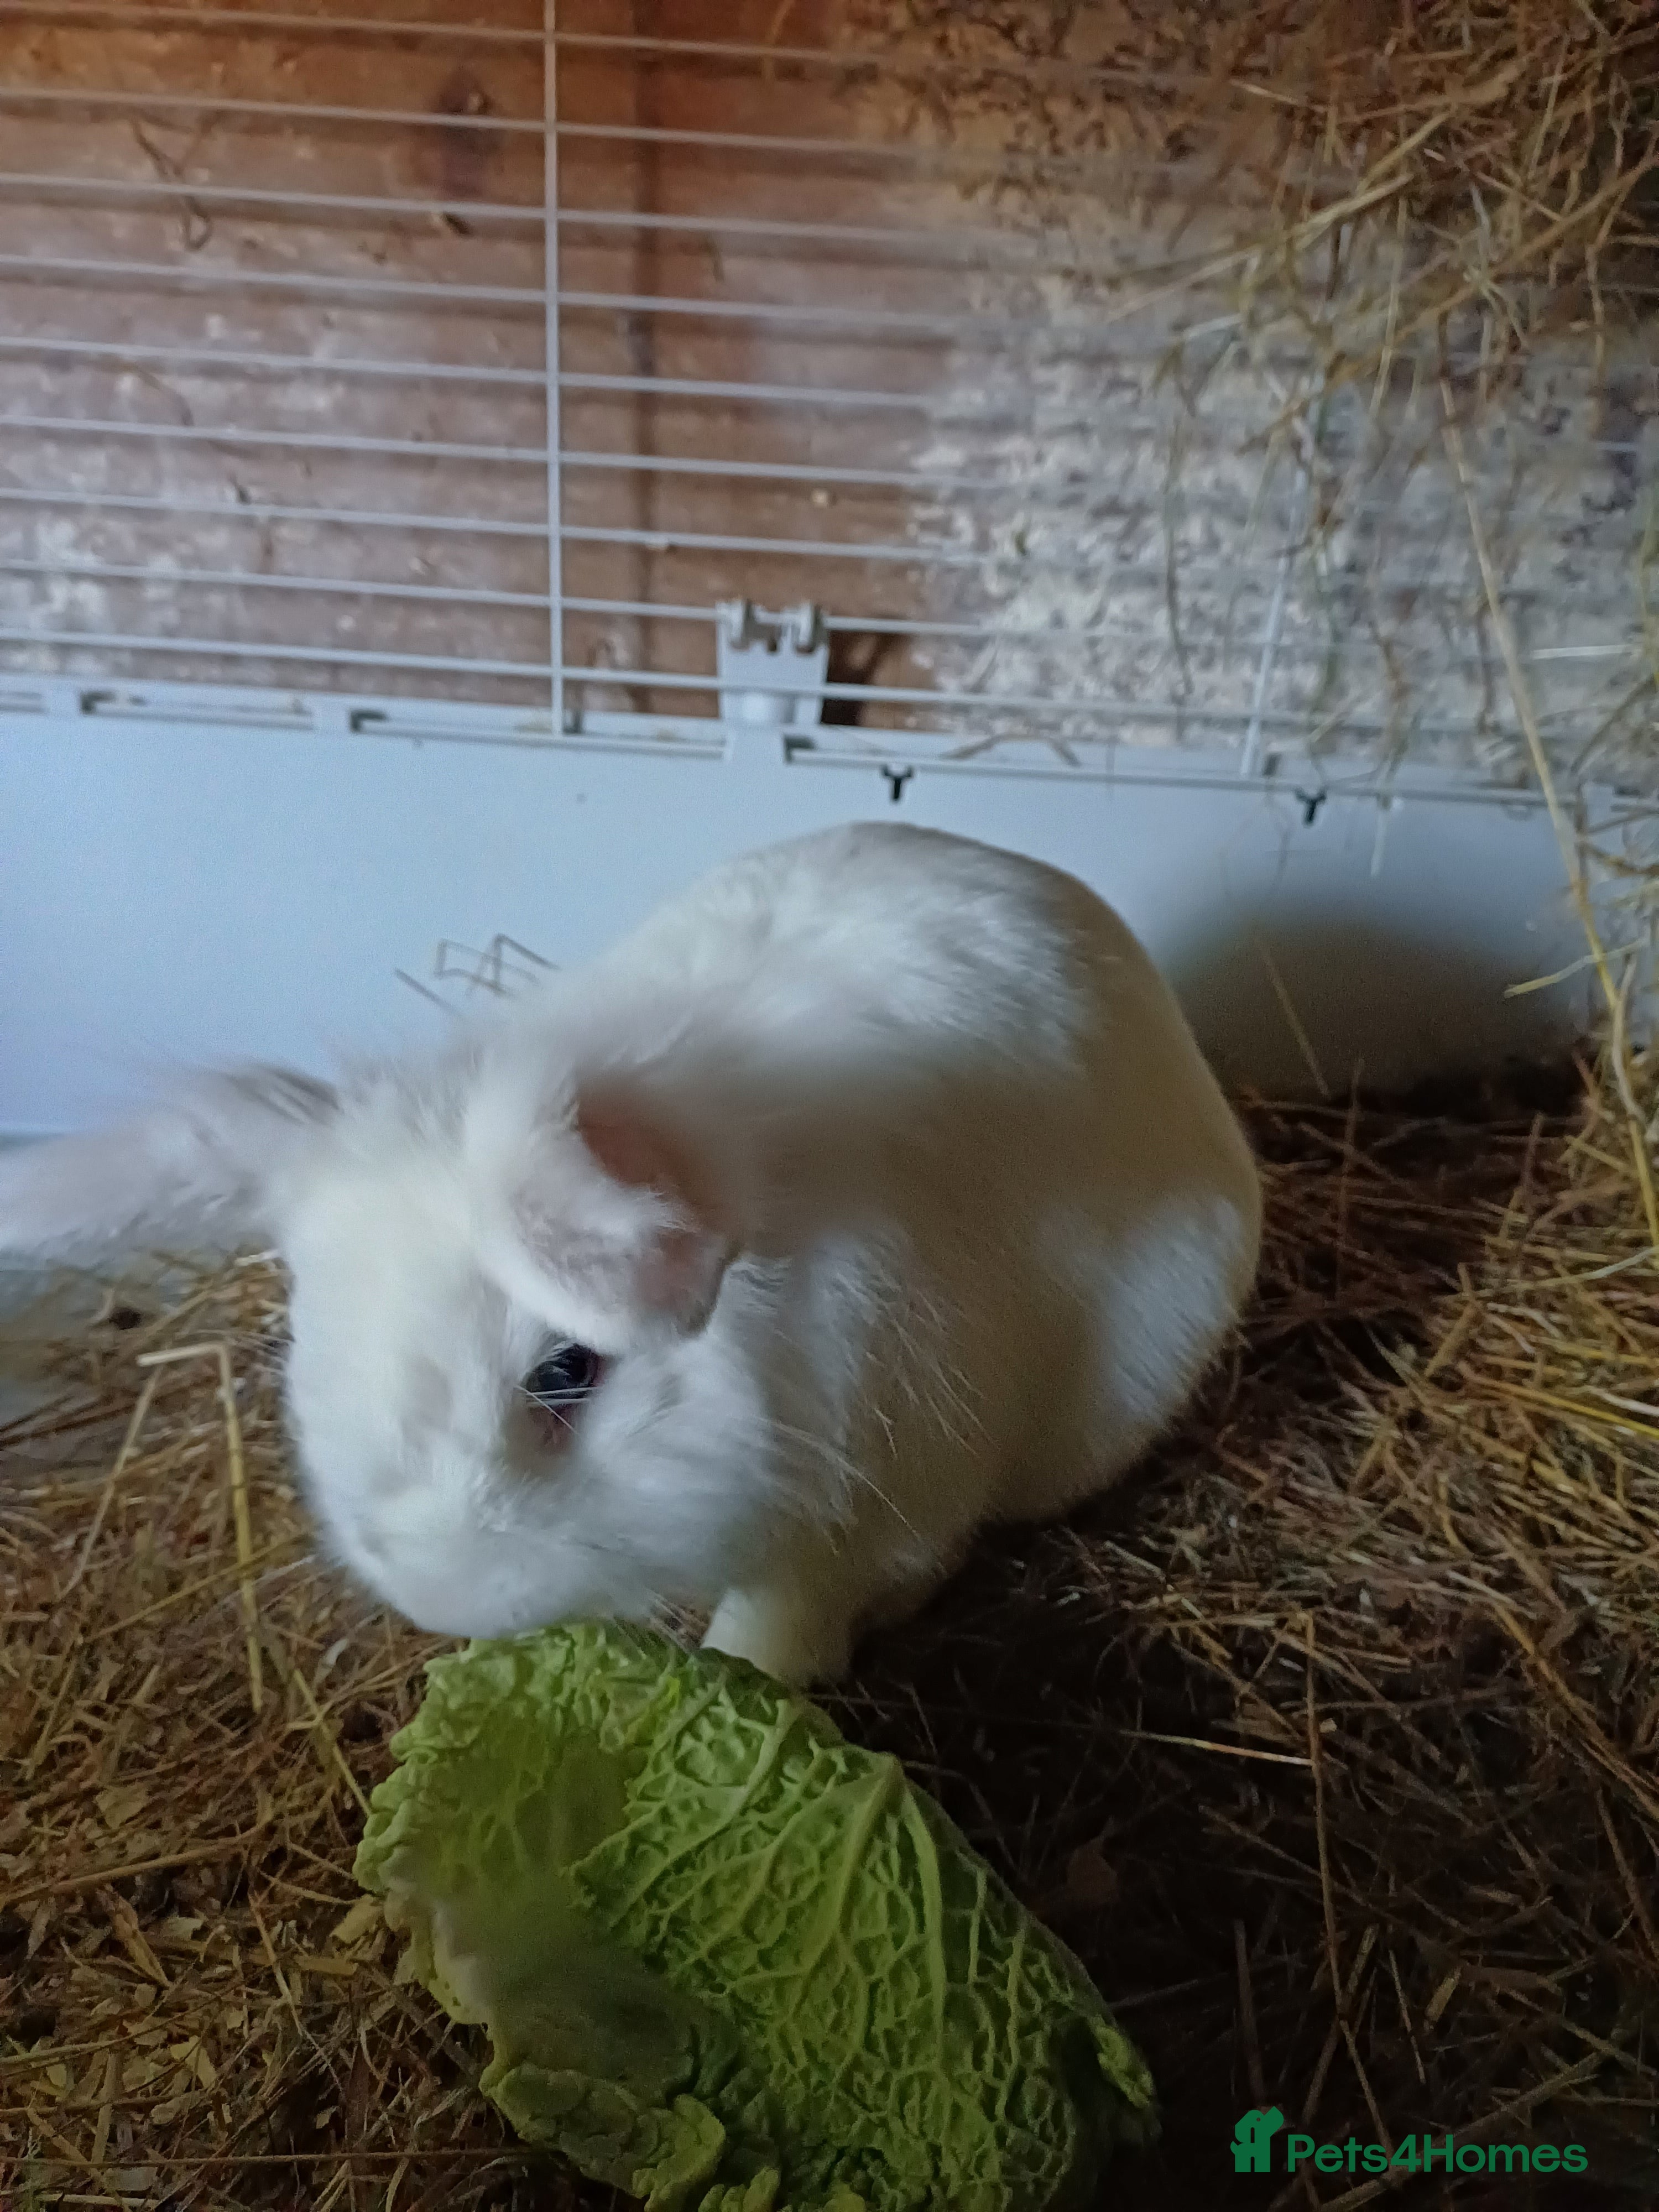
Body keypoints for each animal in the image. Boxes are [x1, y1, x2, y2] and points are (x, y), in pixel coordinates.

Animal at [0, 822, 1261, 1687]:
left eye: (567, 1372)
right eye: (310, 1346)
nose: (444, 1598)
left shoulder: (869, 1513)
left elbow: (787, 1621)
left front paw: (750, 1680)